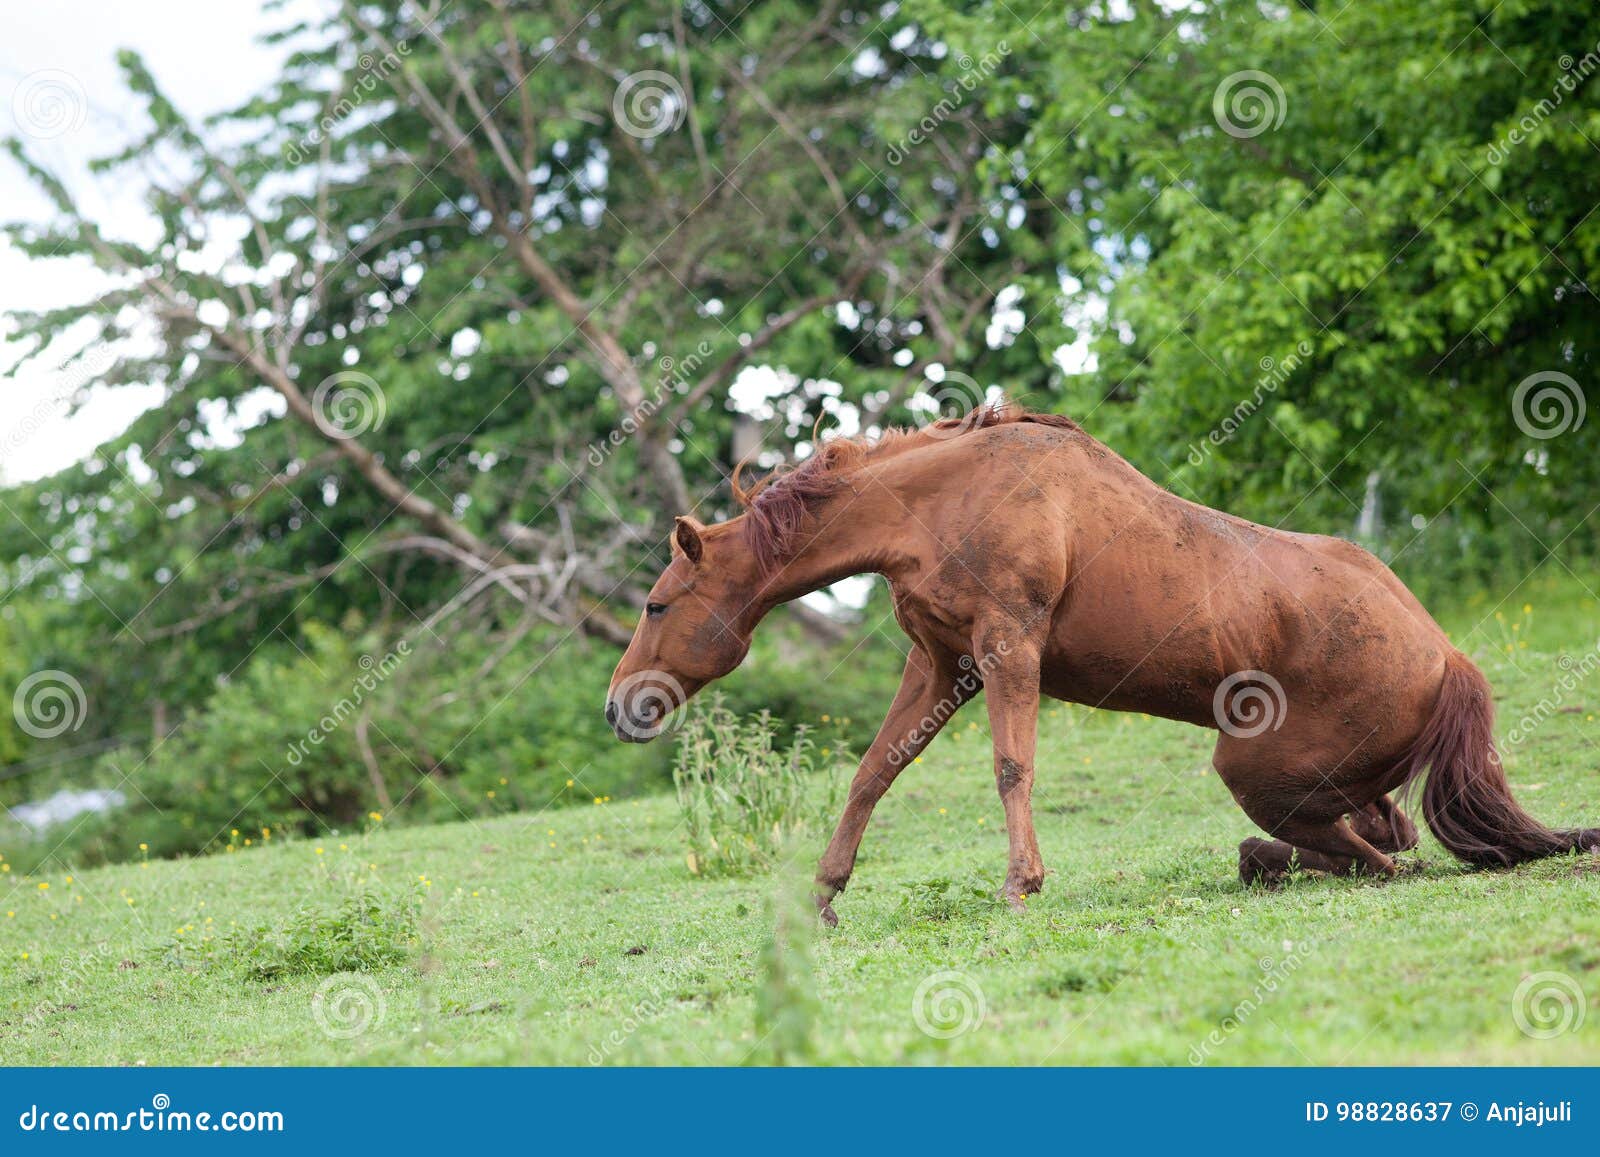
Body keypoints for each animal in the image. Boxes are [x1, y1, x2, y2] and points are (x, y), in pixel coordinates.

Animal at [605, 403, 1598, 924]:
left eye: (656, 604)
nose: (622, 707)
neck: (944, 496)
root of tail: (1447, 657)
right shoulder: (939, 661)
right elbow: (873, 771)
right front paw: (825, 892)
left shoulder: (1008, 646)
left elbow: (1012, 766)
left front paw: (1021, 881)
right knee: (1380, 837)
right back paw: (1263, 861)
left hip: (1254, 767)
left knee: (1384, 859)